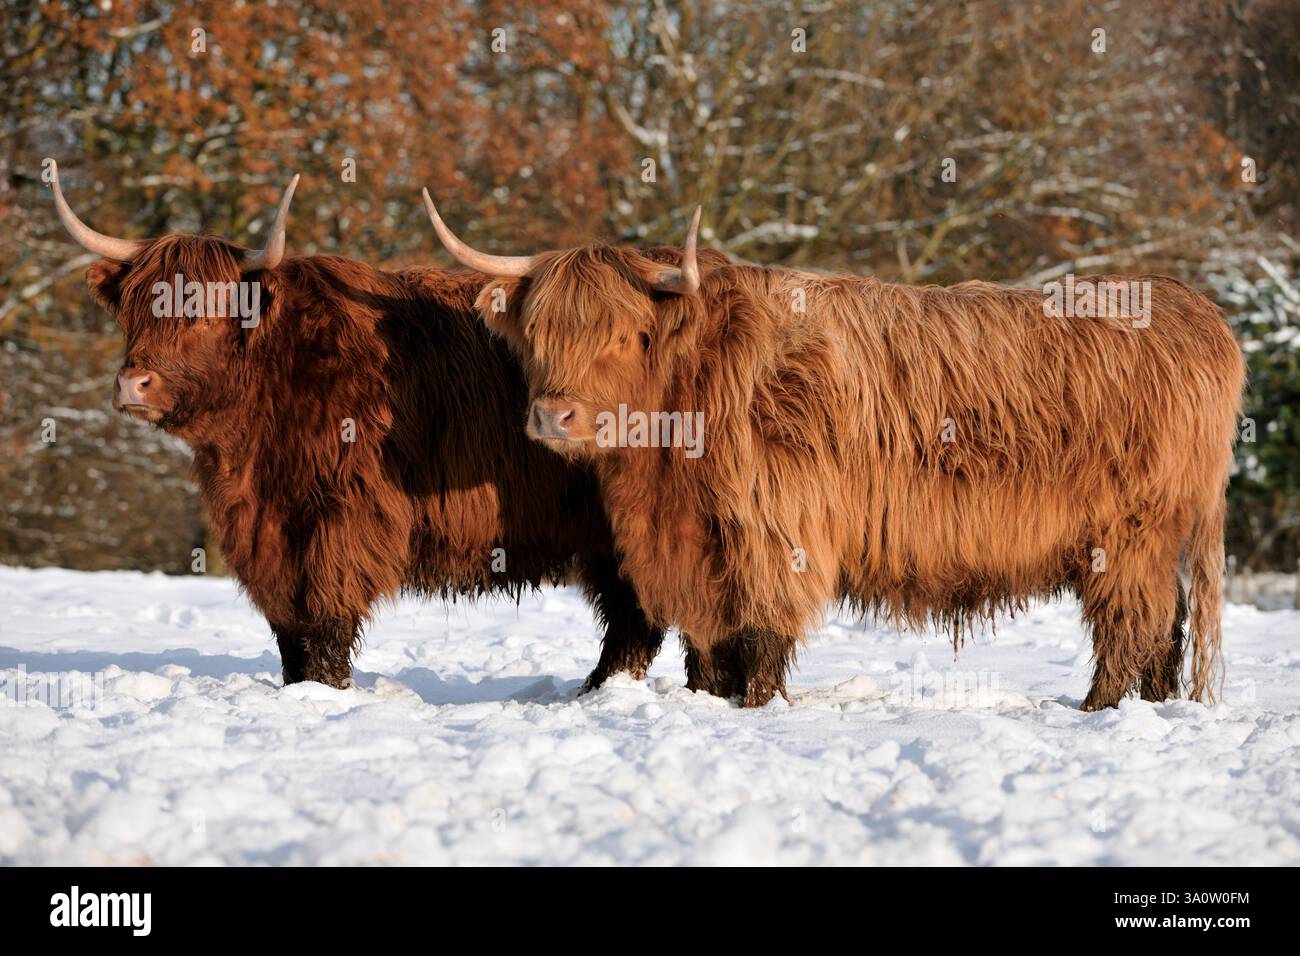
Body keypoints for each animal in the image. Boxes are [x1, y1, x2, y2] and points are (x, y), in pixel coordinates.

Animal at [49, 160, 672, 692]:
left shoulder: (348, 511)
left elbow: (327, 610)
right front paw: (297, 688)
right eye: (133, 309)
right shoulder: (263, 528)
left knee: (635, 609)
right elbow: (288, 623)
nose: (134, 383)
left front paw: (326, 690)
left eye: (205, 312)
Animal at [423, 194, 1245, 710]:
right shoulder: (699, 541)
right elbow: (708, 642)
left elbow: (759, 634)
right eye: (538, 334)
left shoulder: (774, 528)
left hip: (1130, 532)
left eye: (626, 335)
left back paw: (1095, 709)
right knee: (1167, 626)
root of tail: (1188, 305)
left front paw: (757, 706)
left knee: (1133, 624)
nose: (552, 414)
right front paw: (707, 698)